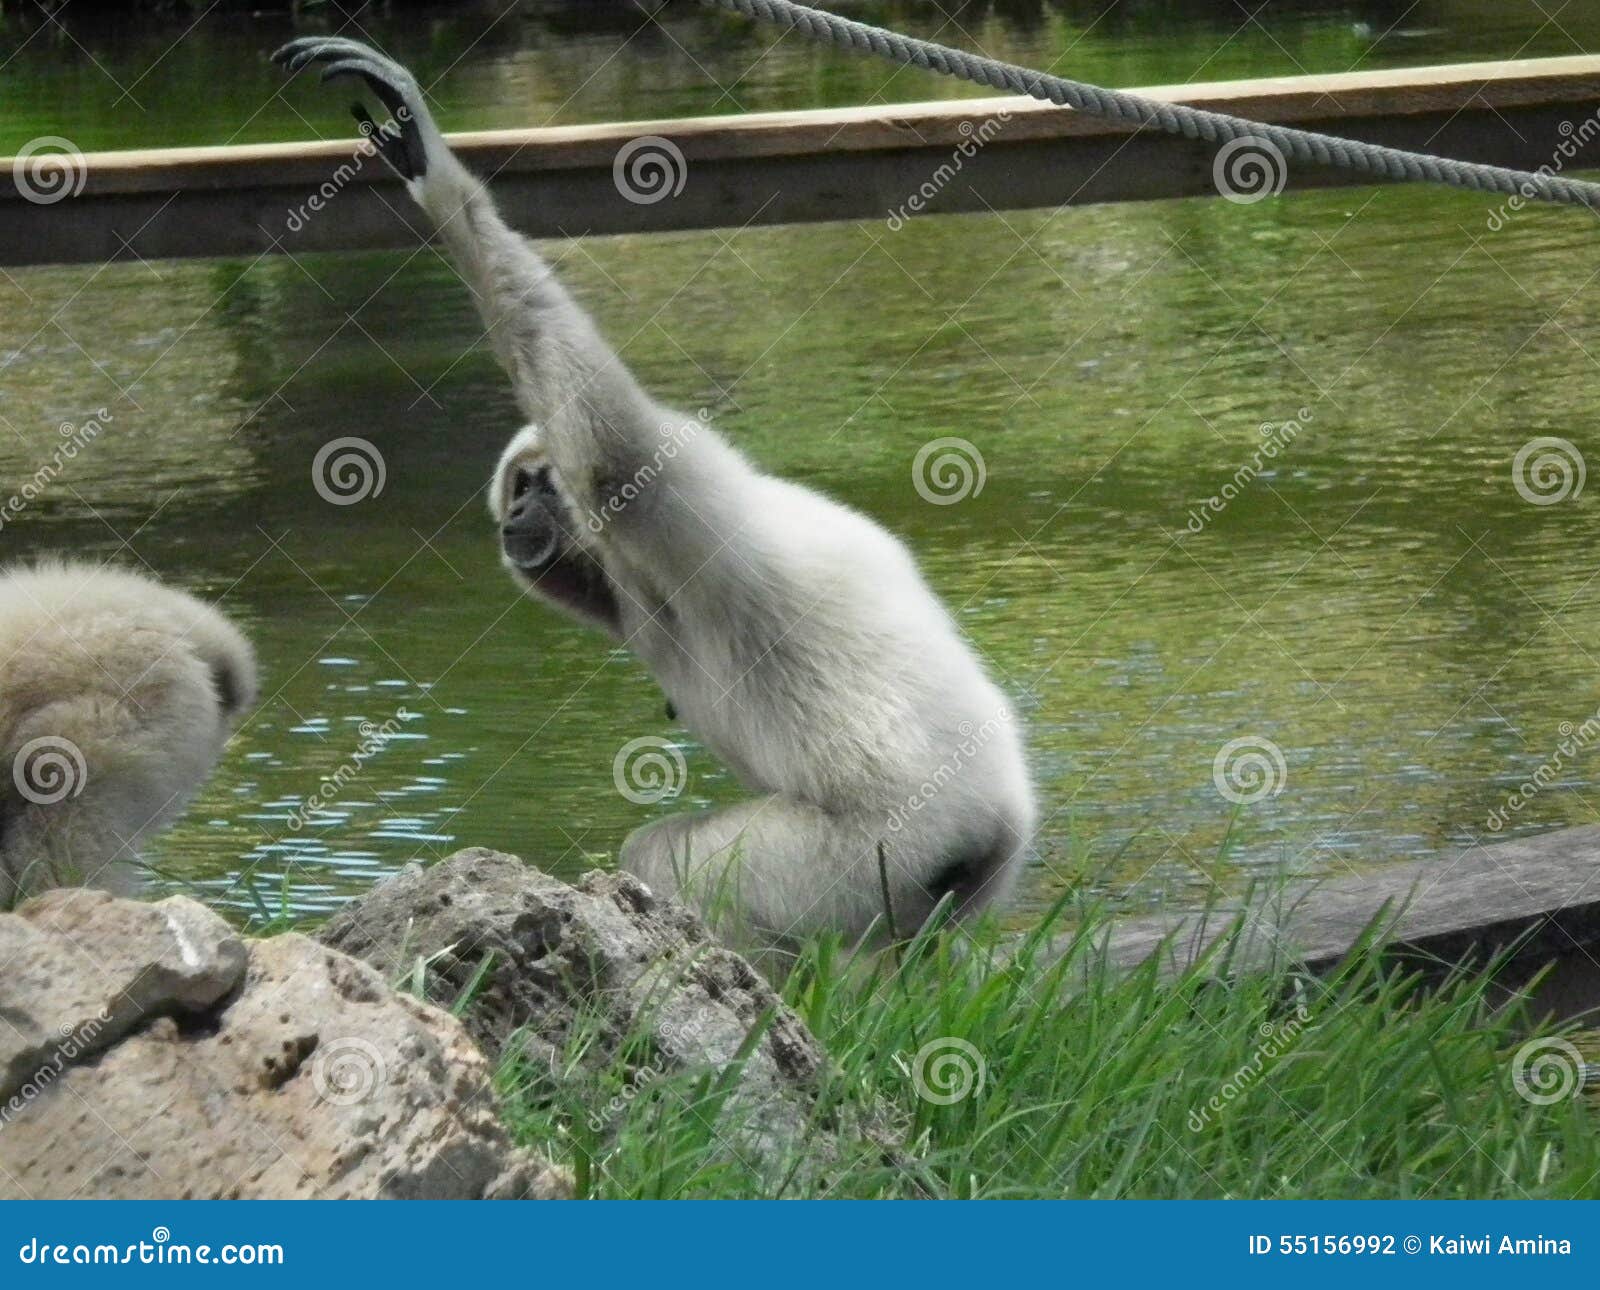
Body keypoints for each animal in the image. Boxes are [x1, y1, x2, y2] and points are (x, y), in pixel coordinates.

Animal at [275, 38, 1035, 949]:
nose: (513, 520)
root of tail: (996, 823)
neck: (637, 576)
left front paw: (432, 167)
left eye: (529, 486)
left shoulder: (668, 489)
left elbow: (610, 450)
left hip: (879, 849)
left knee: (681, 862)